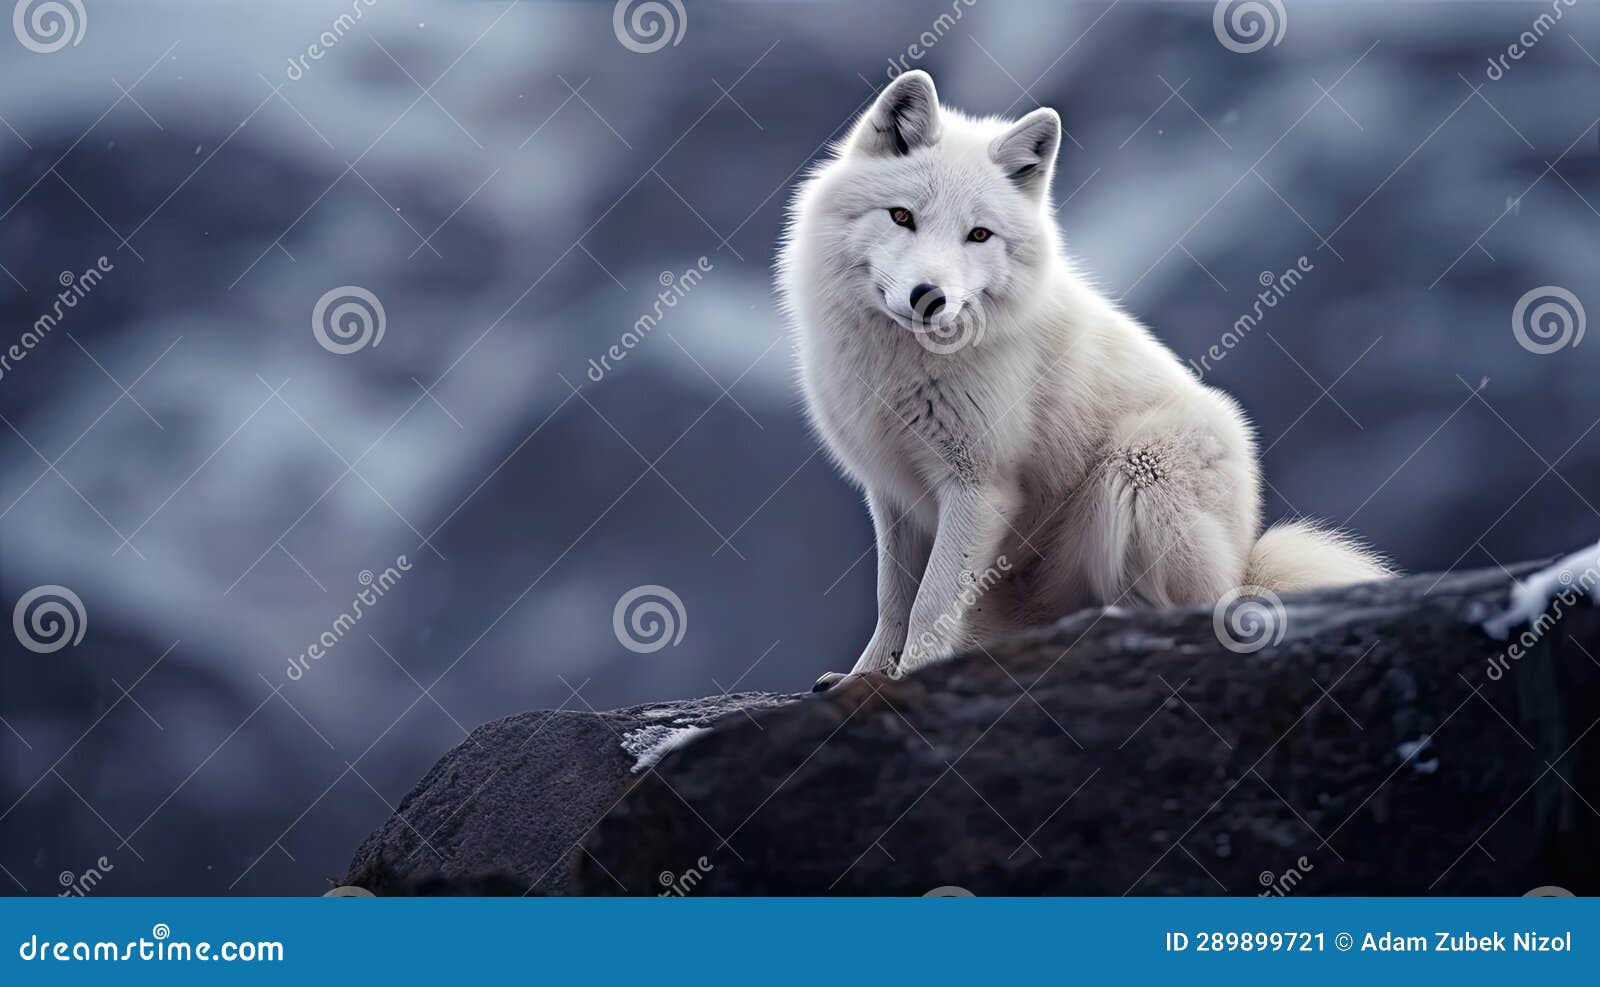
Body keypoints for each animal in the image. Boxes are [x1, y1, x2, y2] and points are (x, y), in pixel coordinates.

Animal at [775, 71, 1393, 691]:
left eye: (979, 235)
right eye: (902, 217)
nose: (930, 297)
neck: (903, 365)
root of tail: (1244, 562)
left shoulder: (979, 487)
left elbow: (930, 603)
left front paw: (912, 680)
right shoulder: (893, 492)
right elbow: (894, 601)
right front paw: (863, 680)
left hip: (1140, 470)